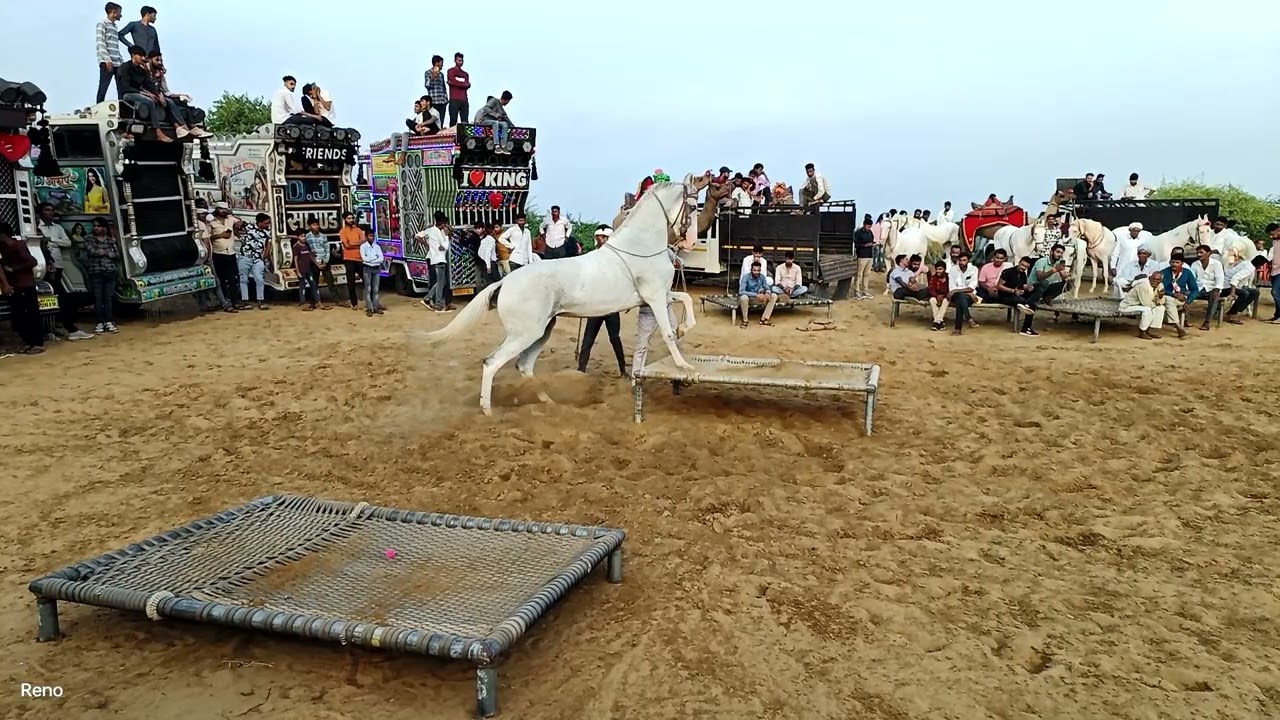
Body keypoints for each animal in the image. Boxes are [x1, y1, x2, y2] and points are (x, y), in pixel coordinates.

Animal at [423, 177, 701, 415]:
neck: (640, 247)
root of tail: (505, 281)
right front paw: (684, 366)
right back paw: (488, 411)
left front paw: (685, 329)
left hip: (542, 331)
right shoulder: (654, 298)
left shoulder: (660, 295)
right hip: (525, 334)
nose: (690, 243)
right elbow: (667, 333)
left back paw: (548, 402)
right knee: (492, 362)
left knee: (524, 366)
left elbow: (685, 300)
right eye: (692, 206)